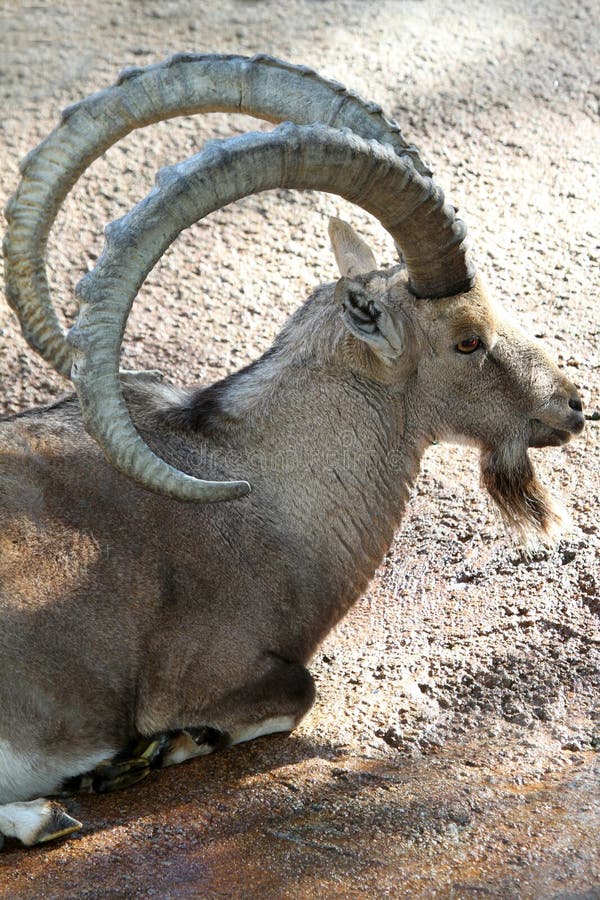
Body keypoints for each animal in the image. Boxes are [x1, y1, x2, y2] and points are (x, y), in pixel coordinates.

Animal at [0, 54, 584, 847]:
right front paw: (166, 746)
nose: (572, 405)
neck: (255, 488)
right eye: (467, 340)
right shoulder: (209, 669)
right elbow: (294, 693)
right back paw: (55, 806)